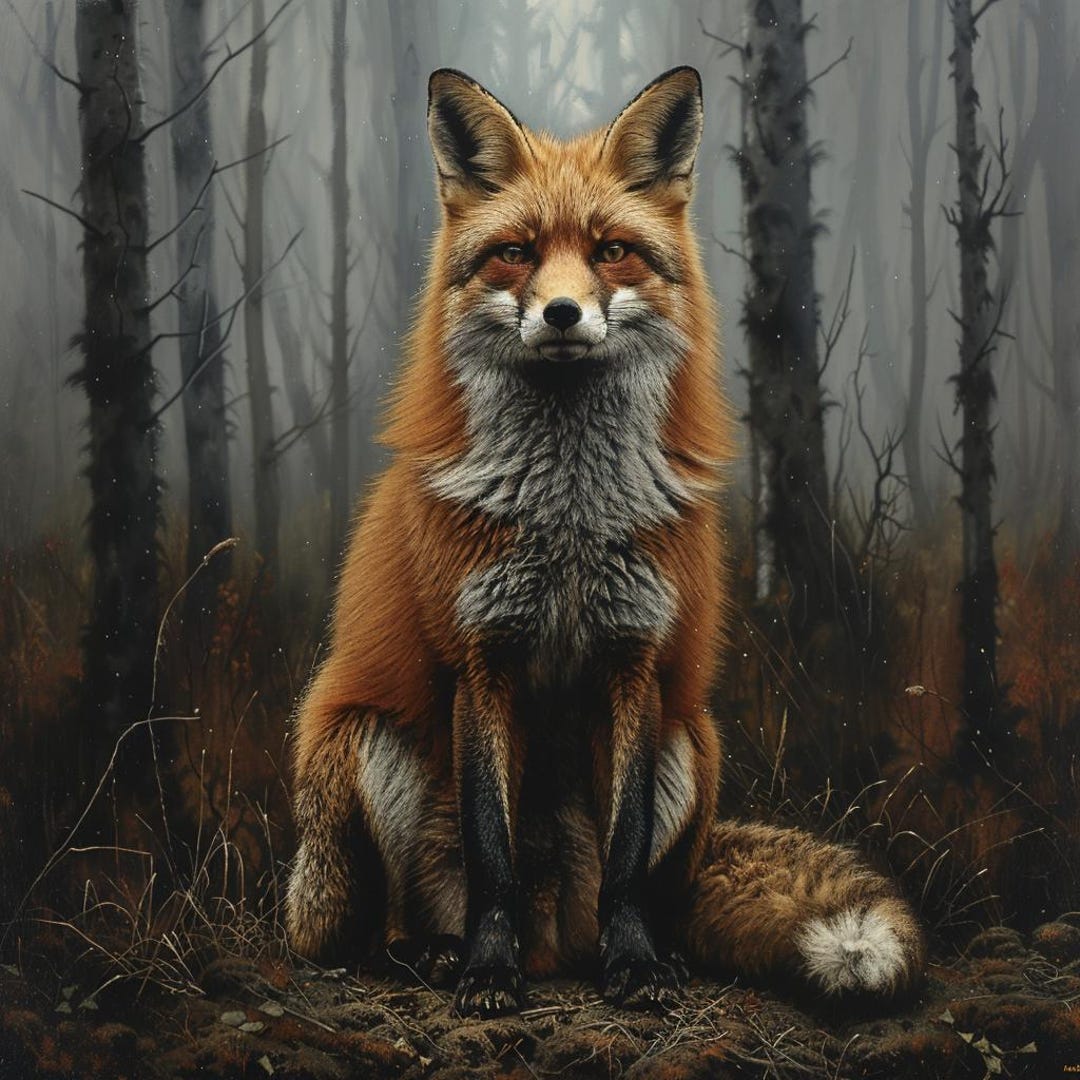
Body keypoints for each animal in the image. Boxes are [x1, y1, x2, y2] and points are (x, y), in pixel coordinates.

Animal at [284, 66, 926, 1017]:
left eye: (611, 250)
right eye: (516, 253)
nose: (560, 312)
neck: (569, 524)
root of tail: (559, 937)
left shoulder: (638, 661)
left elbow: (625, 856)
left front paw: (634, 966)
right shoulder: (483, 659)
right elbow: (492, 854)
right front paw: (488, 970)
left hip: (693, 744)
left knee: (642, 890)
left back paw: (644, 948)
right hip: (360, 744)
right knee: (379, 925)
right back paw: (432, 951)